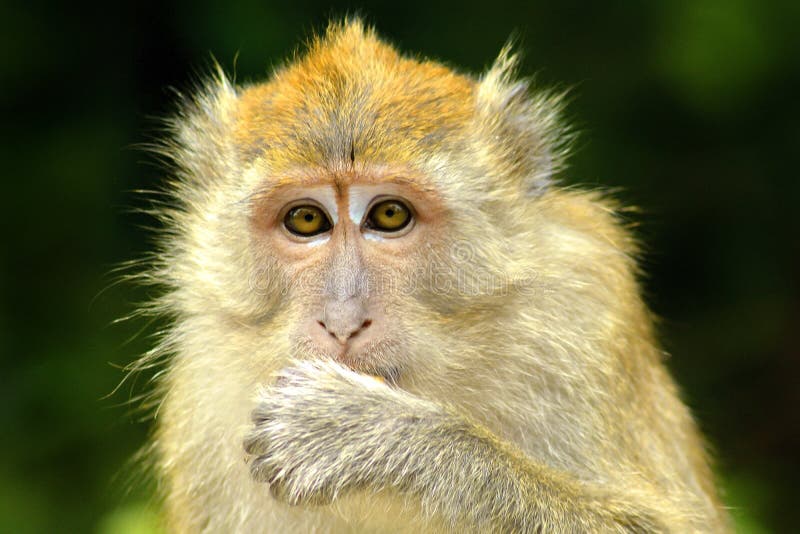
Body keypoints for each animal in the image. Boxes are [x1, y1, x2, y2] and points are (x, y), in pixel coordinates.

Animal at [137, 19, 731, 533]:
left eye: (389, 215)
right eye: (305, 220)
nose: (343, 320)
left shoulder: (585, 312)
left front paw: (366, 432)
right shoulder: (200, 391)